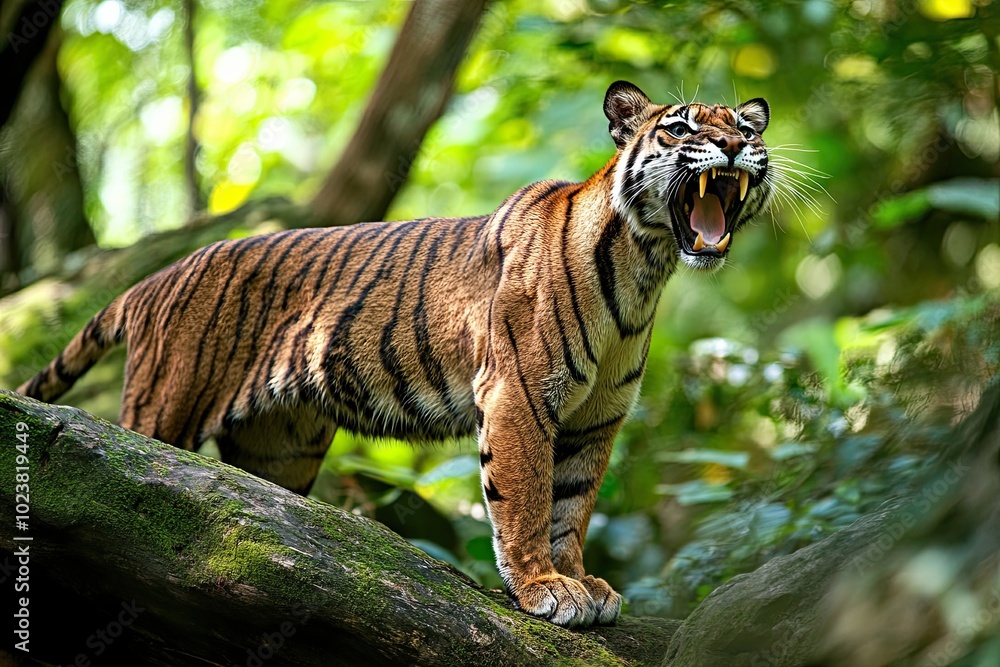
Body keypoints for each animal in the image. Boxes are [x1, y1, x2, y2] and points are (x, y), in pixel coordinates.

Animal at [18, 81, 772, 628]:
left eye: (747, 126)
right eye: (682, 128)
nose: (738, 146)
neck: (646, 265)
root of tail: (159, 276)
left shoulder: (596, 418)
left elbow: (572, 504)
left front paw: (581, 580)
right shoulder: (521, 394)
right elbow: (527, 500)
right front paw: (544, 587)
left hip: (281, 448)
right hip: (164, 410)